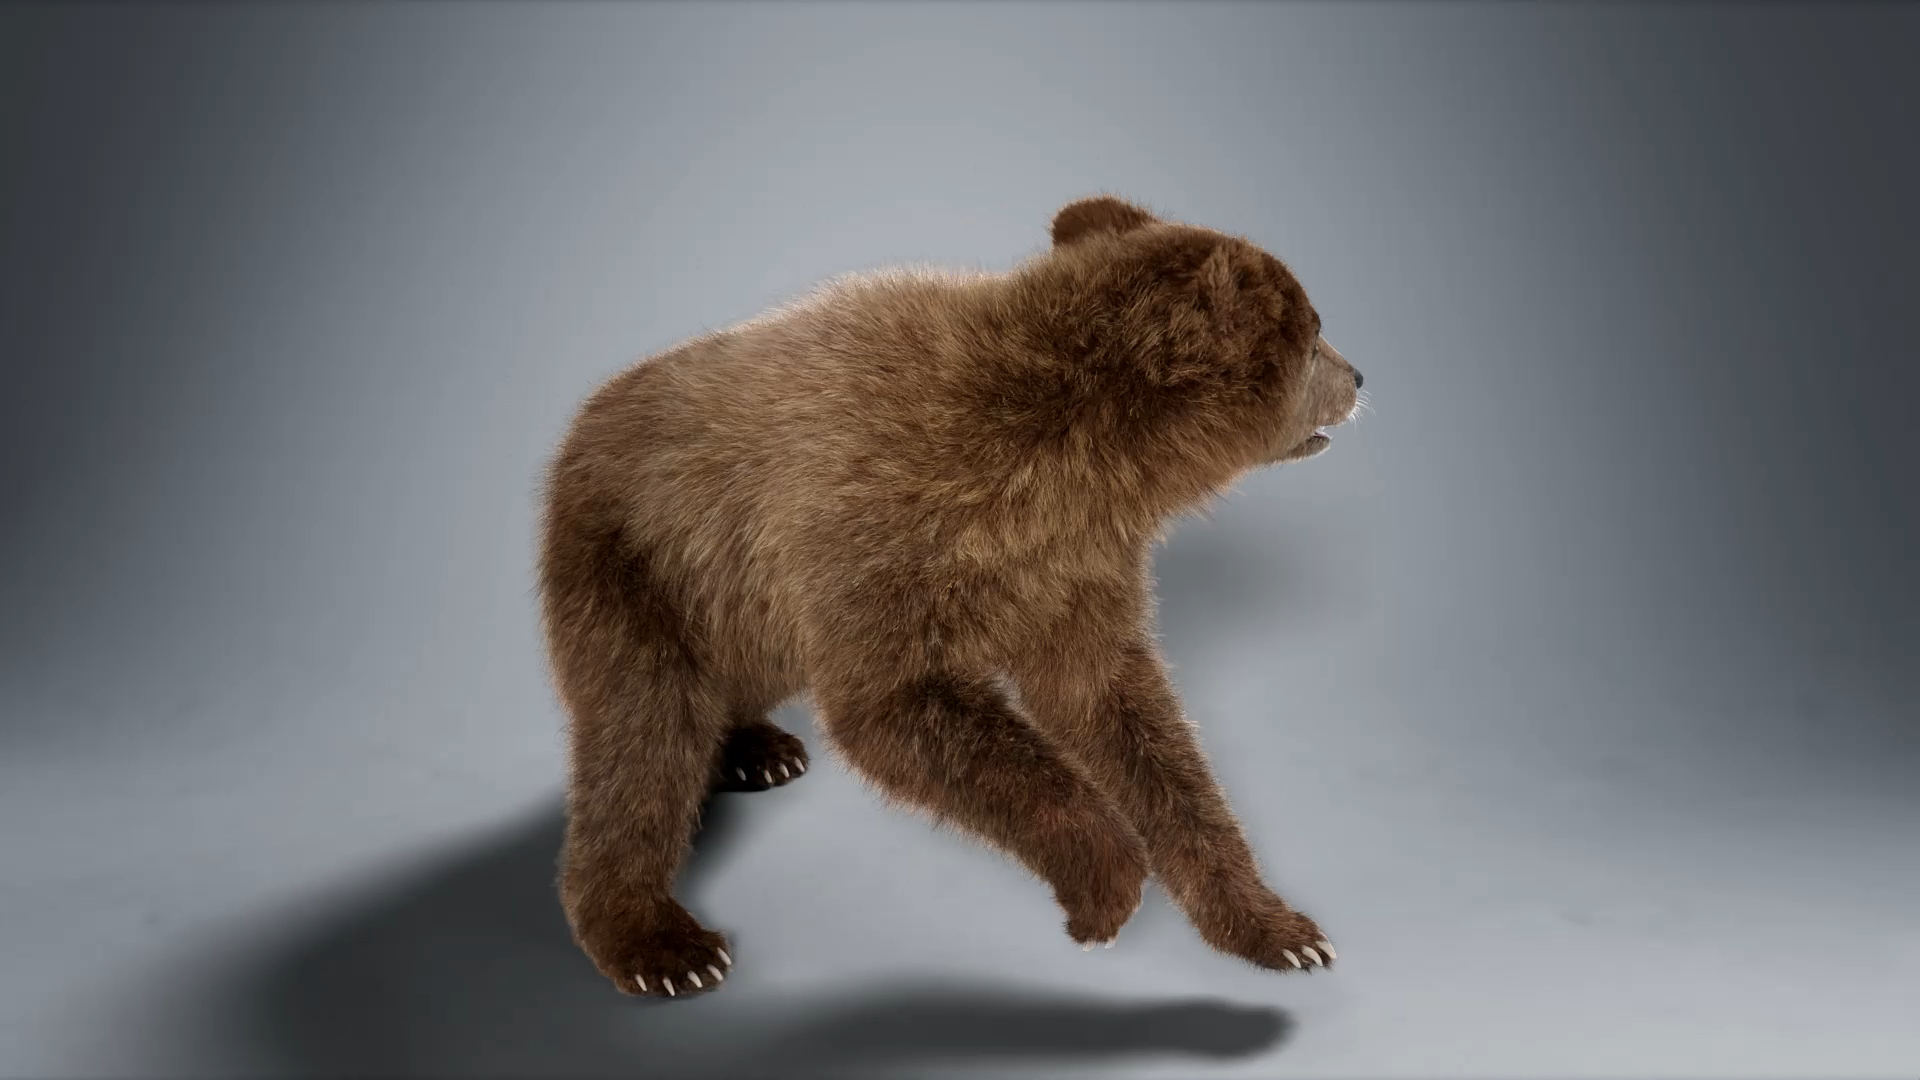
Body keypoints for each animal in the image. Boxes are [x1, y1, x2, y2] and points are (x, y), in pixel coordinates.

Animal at [537, 195, 1366, 998]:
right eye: (1315, 333)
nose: (1359, 378)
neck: (1069, 459)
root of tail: (580, 420)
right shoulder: (882, 529)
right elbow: (903, 708)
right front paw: (1105, 891)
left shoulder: (1076, 570)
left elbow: (1136, 728)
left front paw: (1283, 931)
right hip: (636, 570)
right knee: (644, 738)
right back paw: (664, 943)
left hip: (736, 608)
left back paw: (759, 747)